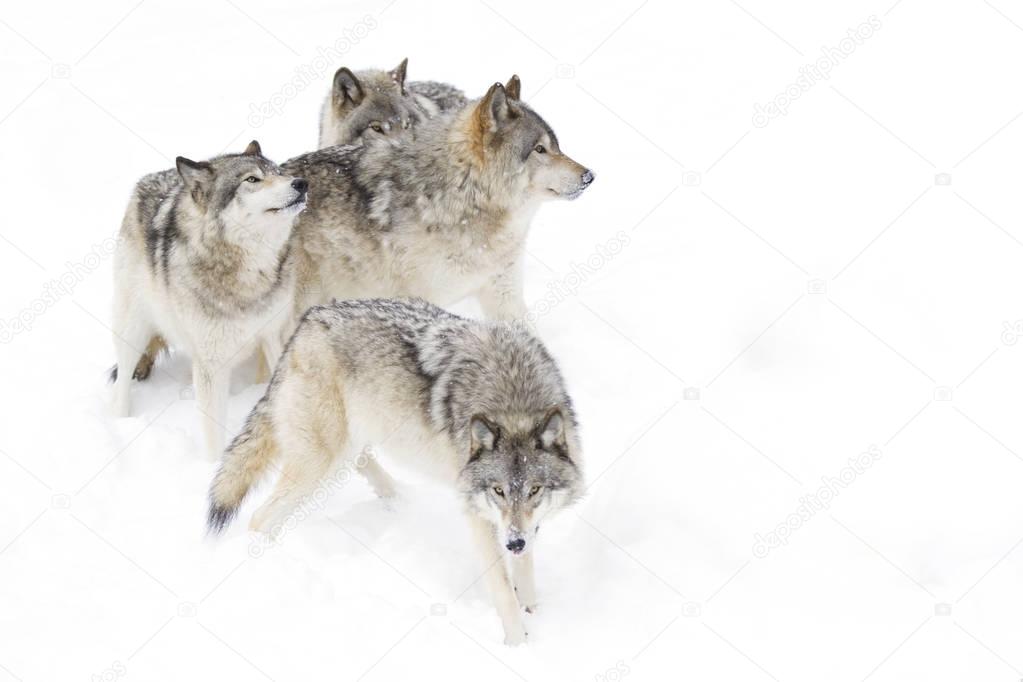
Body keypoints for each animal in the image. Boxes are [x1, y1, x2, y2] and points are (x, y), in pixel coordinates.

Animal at [110, 141, 308, 457]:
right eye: (252, 180)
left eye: (279, 173)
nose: (301, 183)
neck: (249, 274)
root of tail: (150, 178)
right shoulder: (212, 366)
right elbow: (214, 433)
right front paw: (212, 464)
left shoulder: (276, 336)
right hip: (132, 329)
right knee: (124, 378)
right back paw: (121, 421)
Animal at [206, 298, 584, 645]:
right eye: (499, 491)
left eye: (535, 490)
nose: (515, 542)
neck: (513, 402)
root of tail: (309, 320)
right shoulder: (480, 516)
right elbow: (503, 589)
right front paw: (519, 644)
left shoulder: (524, 524)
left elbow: (526, 572)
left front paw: (533, 612)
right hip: (318, 463)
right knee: (260, 518)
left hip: (349, 443)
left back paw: (397, 498)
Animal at [293, 76, 594, 322]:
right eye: (539, 149)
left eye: (556, 147)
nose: (589, 176)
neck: (466, 199)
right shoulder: (420, 299)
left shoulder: (505, 297)